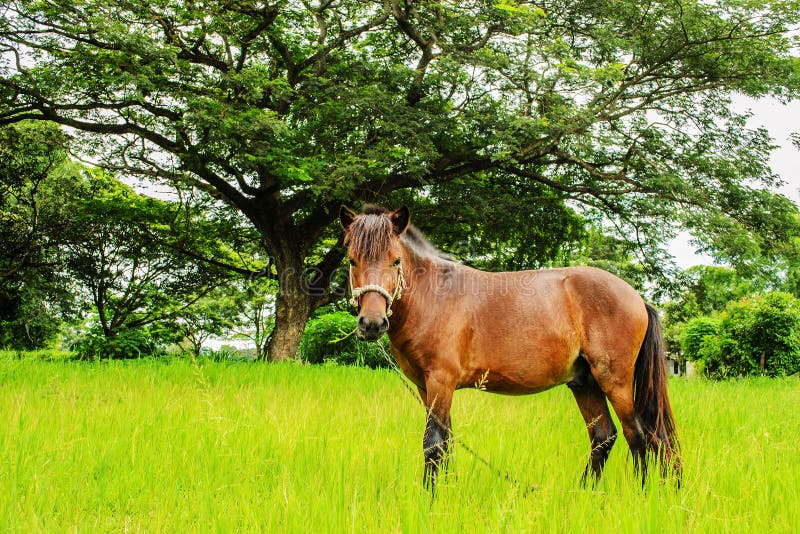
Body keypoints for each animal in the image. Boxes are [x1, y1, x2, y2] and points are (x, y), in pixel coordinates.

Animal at [340, 204, 681, 491]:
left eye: (395, 260)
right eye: (352, 260)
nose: (372, 323)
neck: (434, 295)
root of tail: (637, 298)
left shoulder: (440, 382)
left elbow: (433, 443)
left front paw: (431, 499)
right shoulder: (427, 388)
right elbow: (447, 440)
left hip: (615, 380)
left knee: (639, 435)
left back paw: (640, 494)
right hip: (584, 383)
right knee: (604, 437)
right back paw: (585, 493)